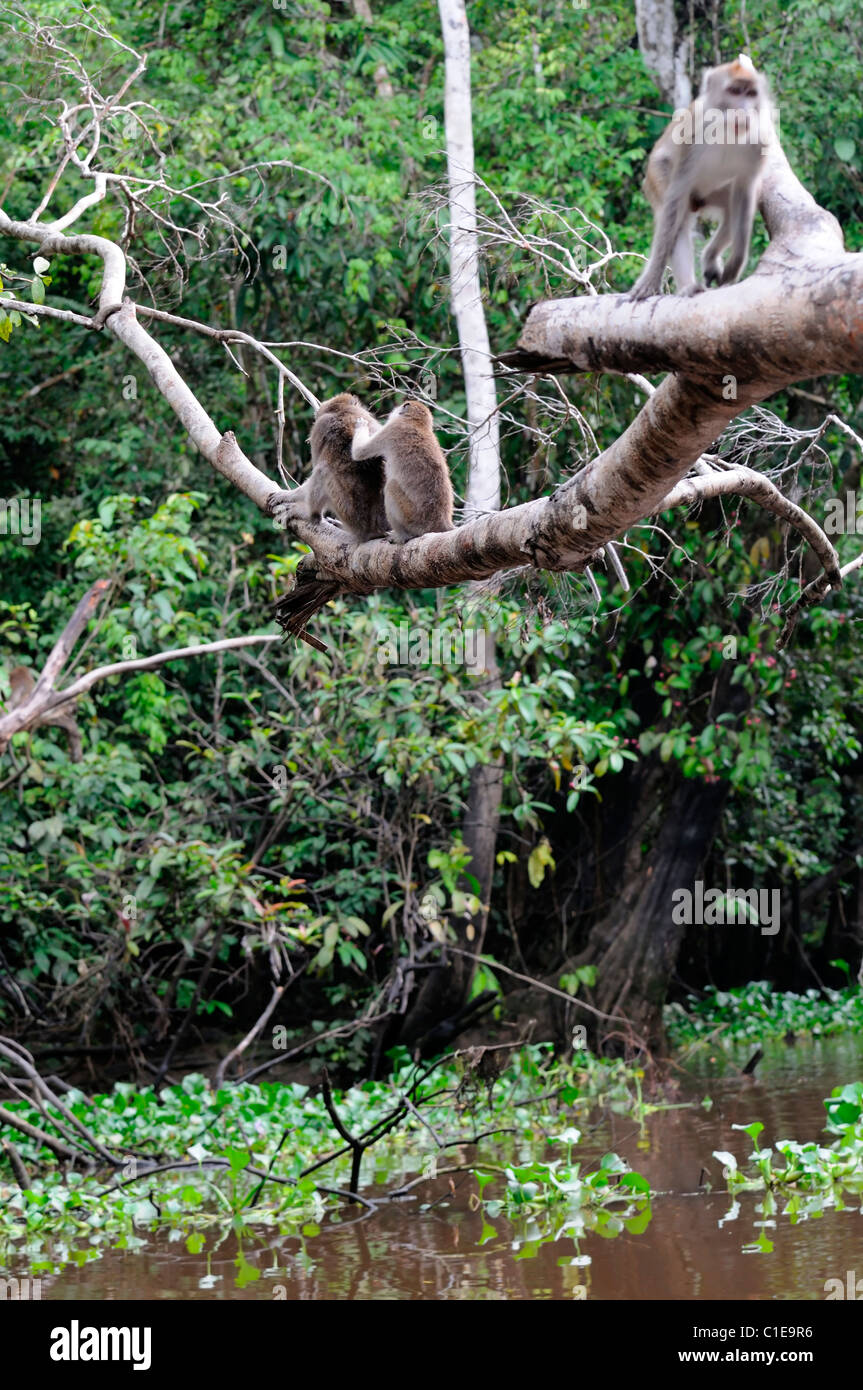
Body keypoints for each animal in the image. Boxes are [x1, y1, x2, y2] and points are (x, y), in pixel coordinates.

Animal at [274, 394, 389, 543]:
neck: (342, 410)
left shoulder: (319, 427)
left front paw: (289, 494)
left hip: (350, 515)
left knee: (322, 470)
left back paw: (311, 515)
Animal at [351, 401, 454, 542]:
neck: (416, 423)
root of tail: (441, 522)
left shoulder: (393, 428)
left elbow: (359, 452)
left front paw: (361, 425)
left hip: (413, 520)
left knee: (391, 487)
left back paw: (402, 535)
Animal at [626, 55, 772, 302]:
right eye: (734, 91)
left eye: (751, 93)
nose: (744, 111)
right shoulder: (691, 135)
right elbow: (675, 197)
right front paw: (651, 280)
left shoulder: (760, 141)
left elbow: (745, 192)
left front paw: (735, 264)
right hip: (656, 176)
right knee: (676, 219)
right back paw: (688, 286)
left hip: (713, 192)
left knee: (732, 210)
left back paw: (710, 256)